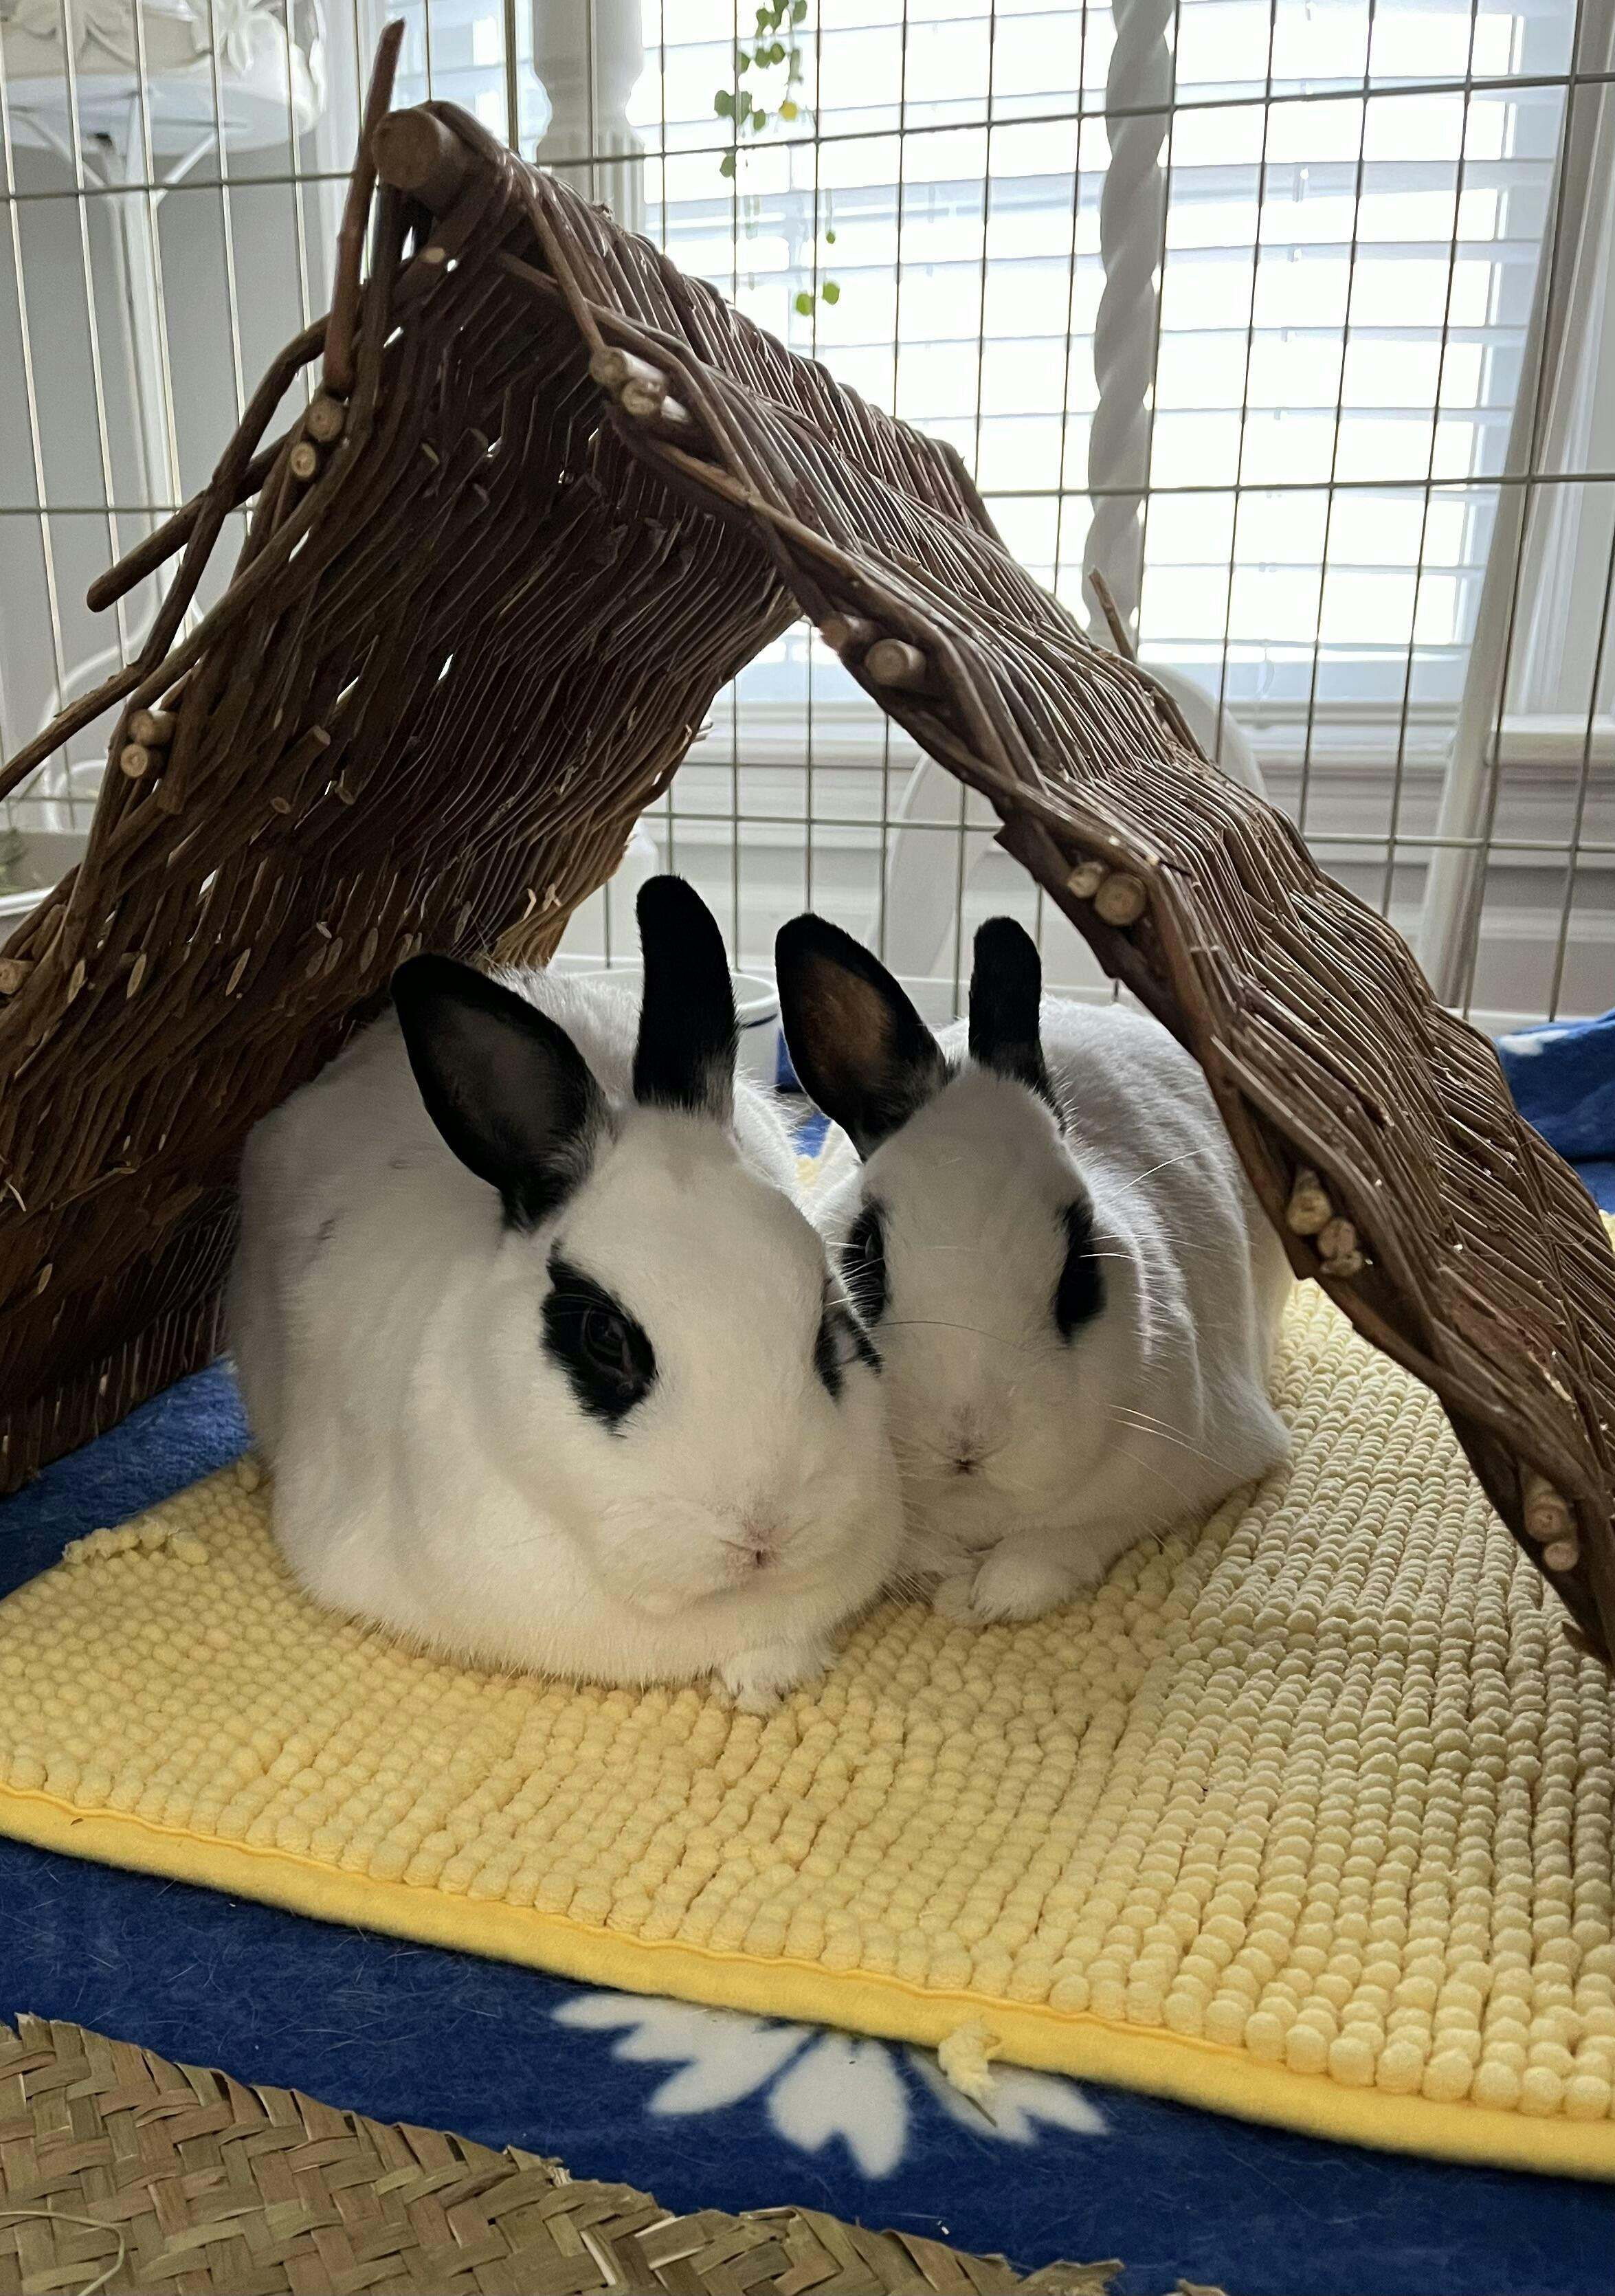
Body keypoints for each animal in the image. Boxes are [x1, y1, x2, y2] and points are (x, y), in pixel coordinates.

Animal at [774, 911, 1292, 1625]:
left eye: (1080, 1274)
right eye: (864, 1255)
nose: (966, 1440)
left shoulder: (1186, 1468)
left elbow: (1069, 1535)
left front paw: (988, 1596)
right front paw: (943, 1571)